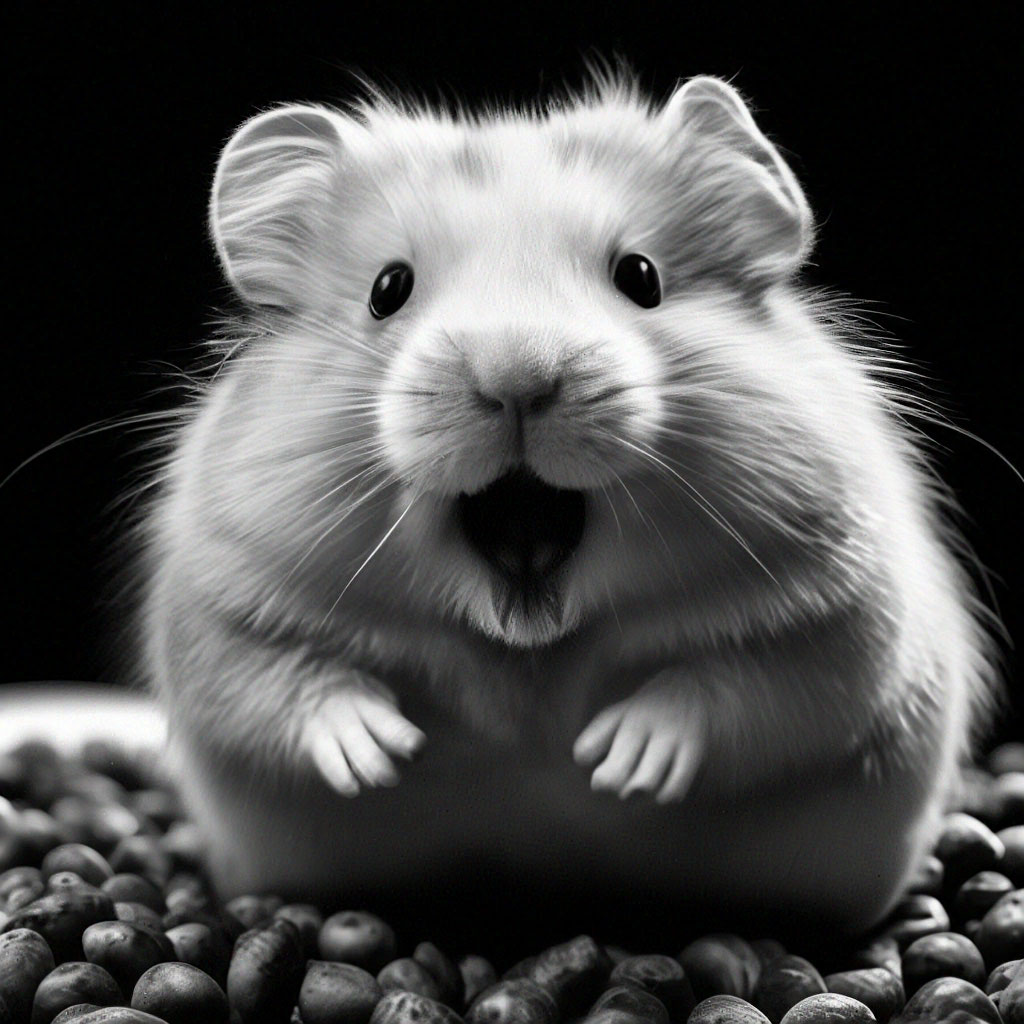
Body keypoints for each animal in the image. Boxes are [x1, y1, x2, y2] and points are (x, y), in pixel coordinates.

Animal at [138, 70, 998, 937]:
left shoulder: (849, 604)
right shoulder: (219, 597)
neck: (530, 655)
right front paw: (381, 753)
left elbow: (755, 684)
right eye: (387, 290)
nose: (516, 376)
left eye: (641, 277)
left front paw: (618, 764)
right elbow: (271, 679)